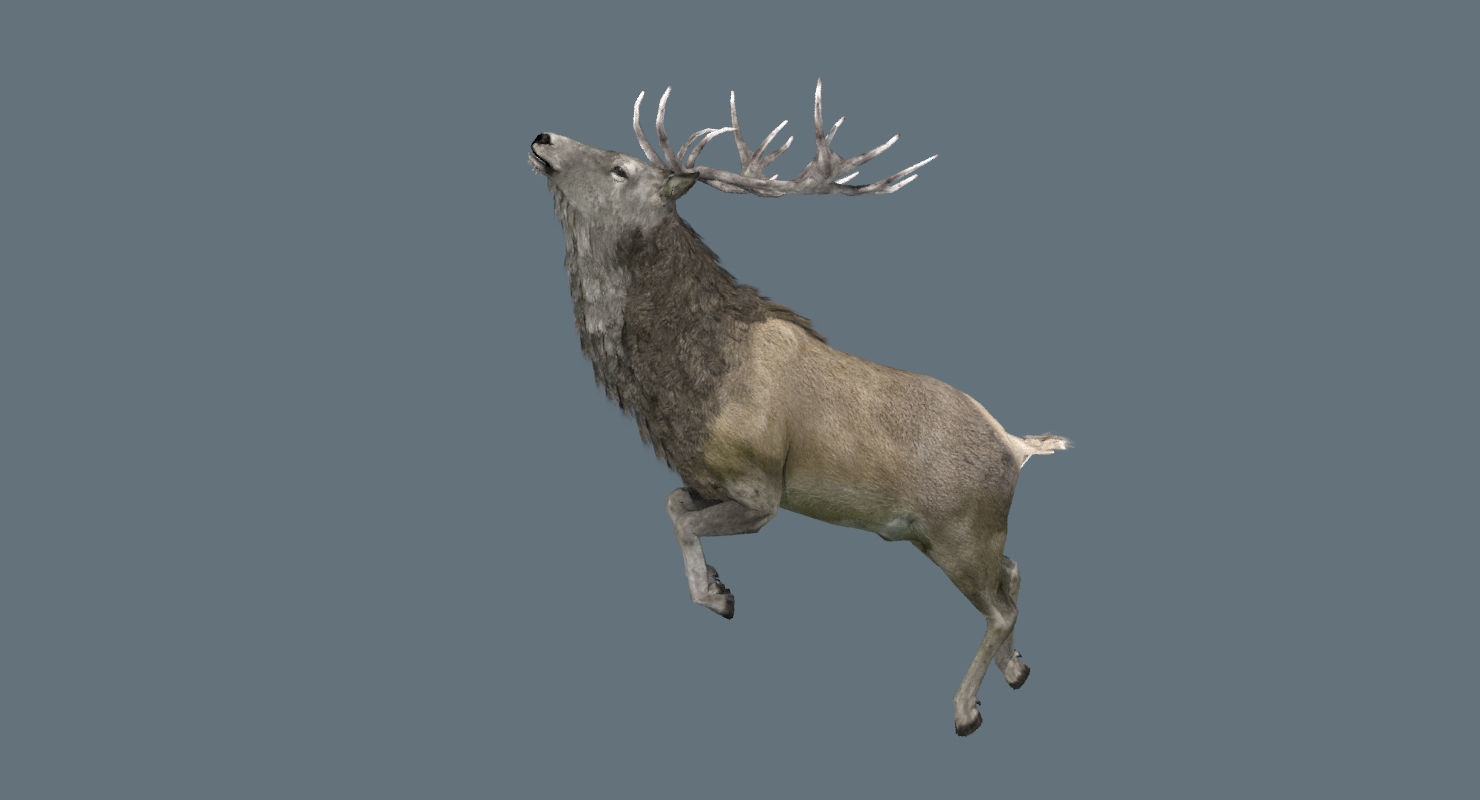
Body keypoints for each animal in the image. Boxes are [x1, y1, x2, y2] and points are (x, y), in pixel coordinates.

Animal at [529, 80, 1069, 737]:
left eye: (620, 167)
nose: (544, 136)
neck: (680, 388)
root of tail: (1017, 448)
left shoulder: (761, 488)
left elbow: (683, 519)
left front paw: (718, 596)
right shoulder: (702, 477)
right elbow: (672, 505)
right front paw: (718, 589)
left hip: (962, 530)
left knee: (998, 607)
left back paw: (966, 709)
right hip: (952, 534)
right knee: (1011, 576)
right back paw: (1016, 671)